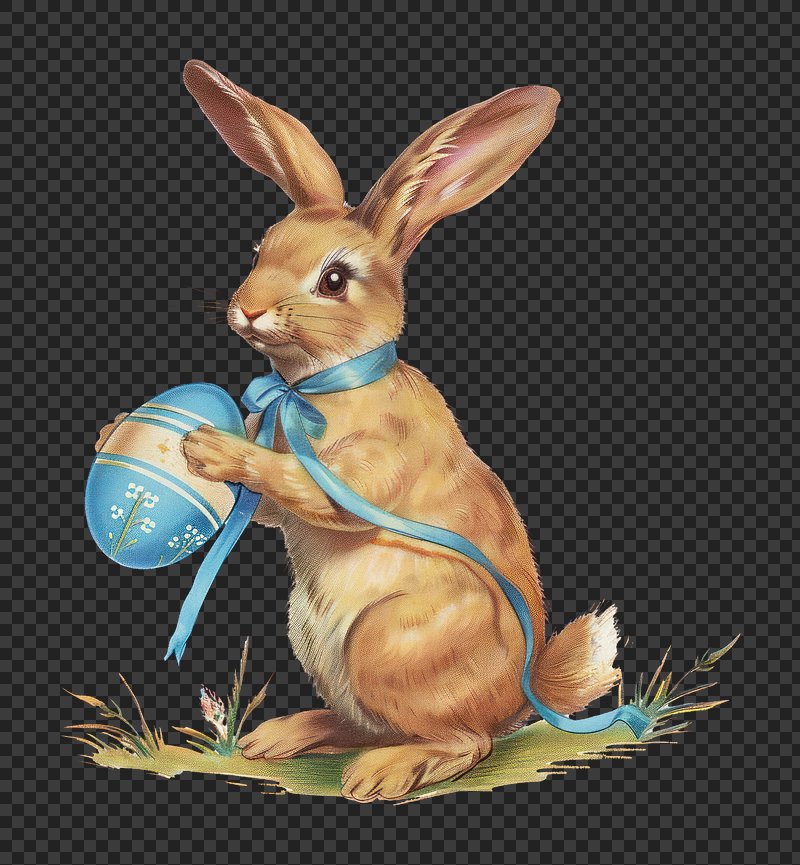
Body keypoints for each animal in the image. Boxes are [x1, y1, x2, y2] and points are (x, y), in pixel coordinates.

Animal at [98, 60, 624, 801]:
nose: (246, 308)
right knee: (371, 724)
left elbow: (307, 485)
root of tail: (519, 700)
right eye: (260, 247)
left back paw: (380, 776)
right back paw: (278, 738)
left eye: (334, 279)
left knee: (465, 742)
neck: (319, 383)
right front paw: (114, 427)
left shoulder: (366, 469)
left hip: (383, 643)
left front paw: (210, 447)